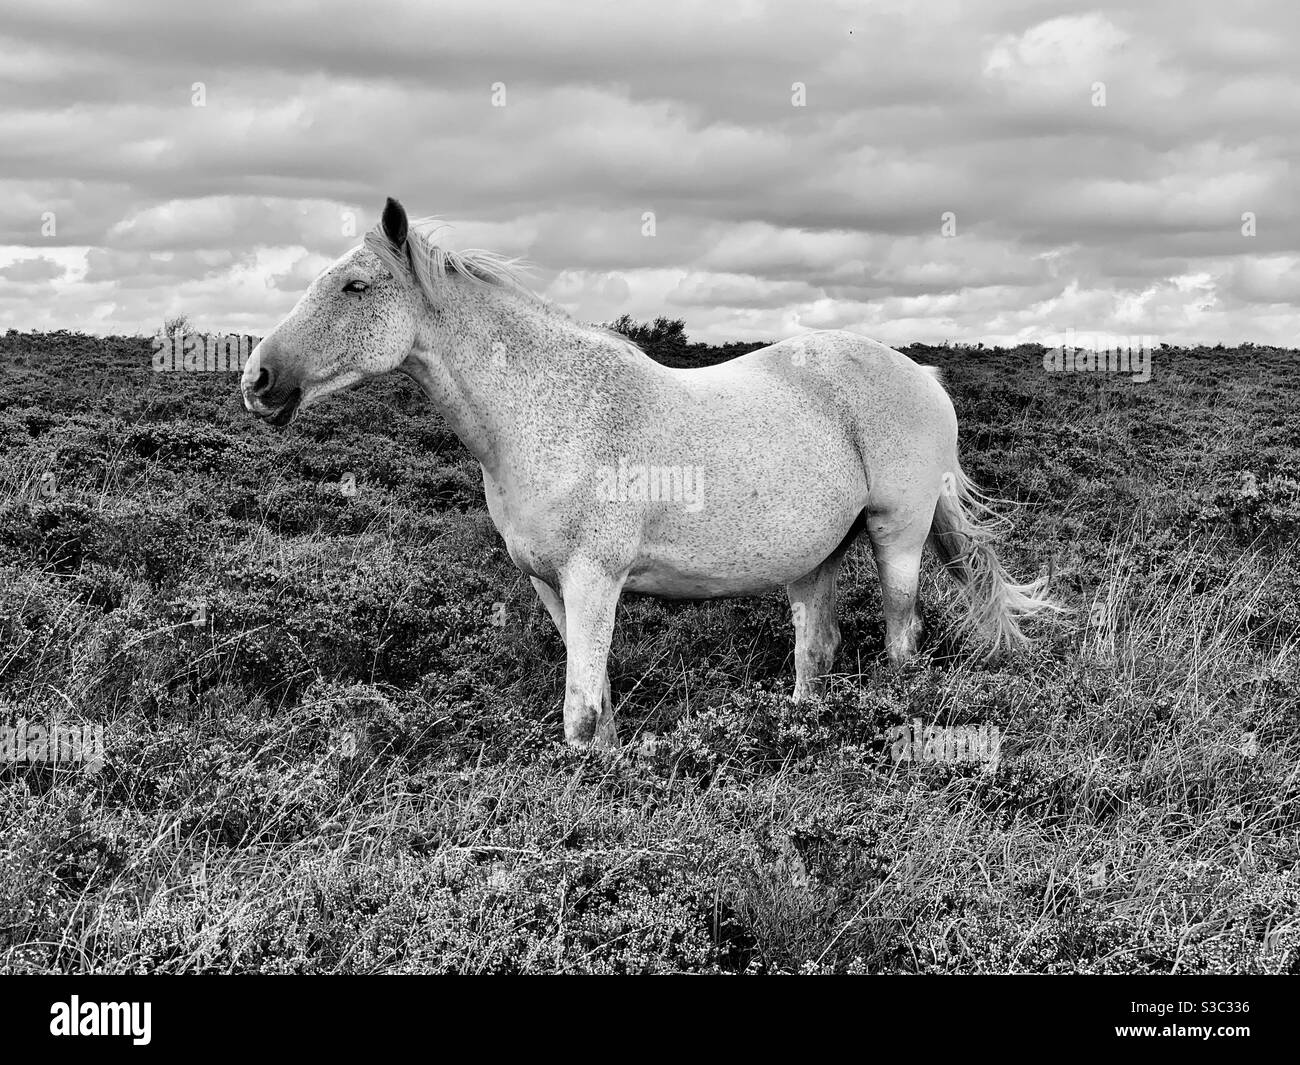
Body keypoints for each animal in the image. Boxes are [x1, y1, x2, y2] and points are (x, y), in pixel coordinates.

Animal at [241, 197, 1057, 746]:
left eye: (356, 287)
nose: (257, 379)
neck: (549, 410)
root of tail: (924, 375)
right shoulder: (553, 586)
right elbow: (595, 700)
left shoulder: (594, 578)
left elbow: (579, 714)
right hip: (815, 558)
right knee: (814, 651)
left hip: (898, 538)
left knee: (900, 637)